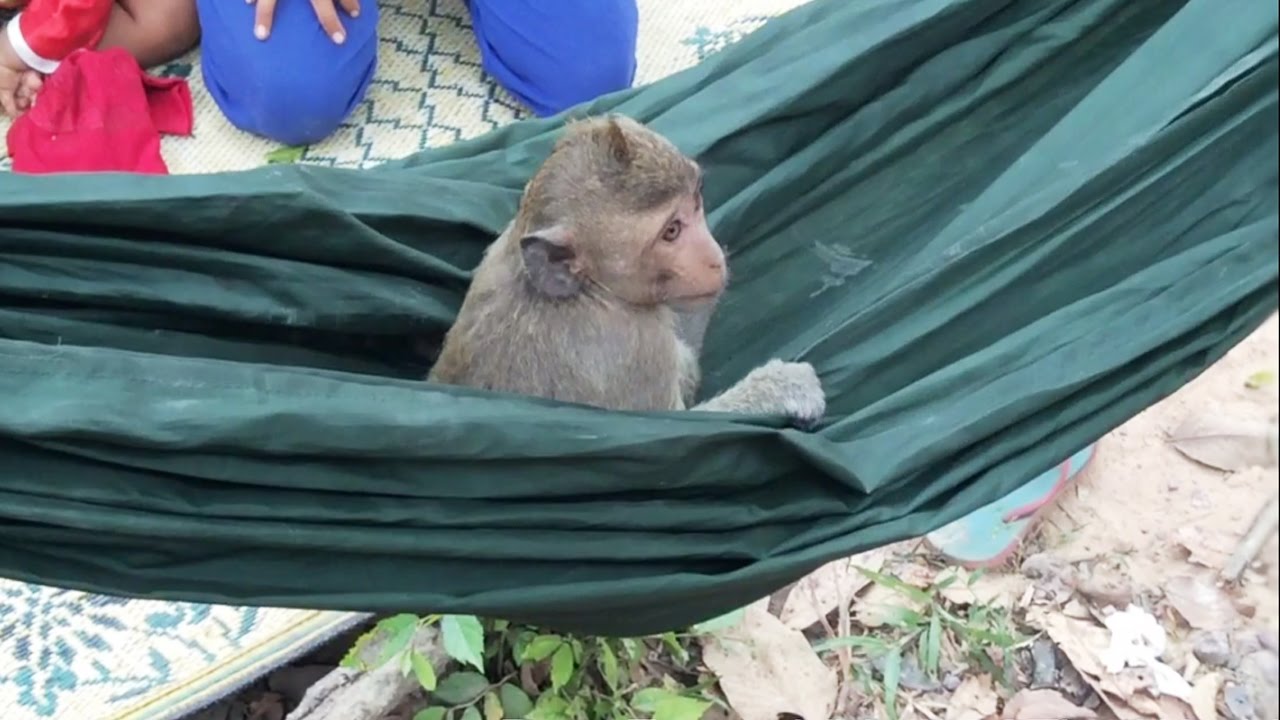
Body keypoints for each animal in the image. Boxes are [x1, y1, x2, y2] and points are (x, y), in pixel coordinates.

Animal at [428, 114, 825, 429]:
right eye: (671, 231)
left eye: (696, 201)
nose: (714, 258)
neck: (592, 289)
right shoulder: (636, 347)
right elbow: (679, 420)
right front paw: (785, 386)